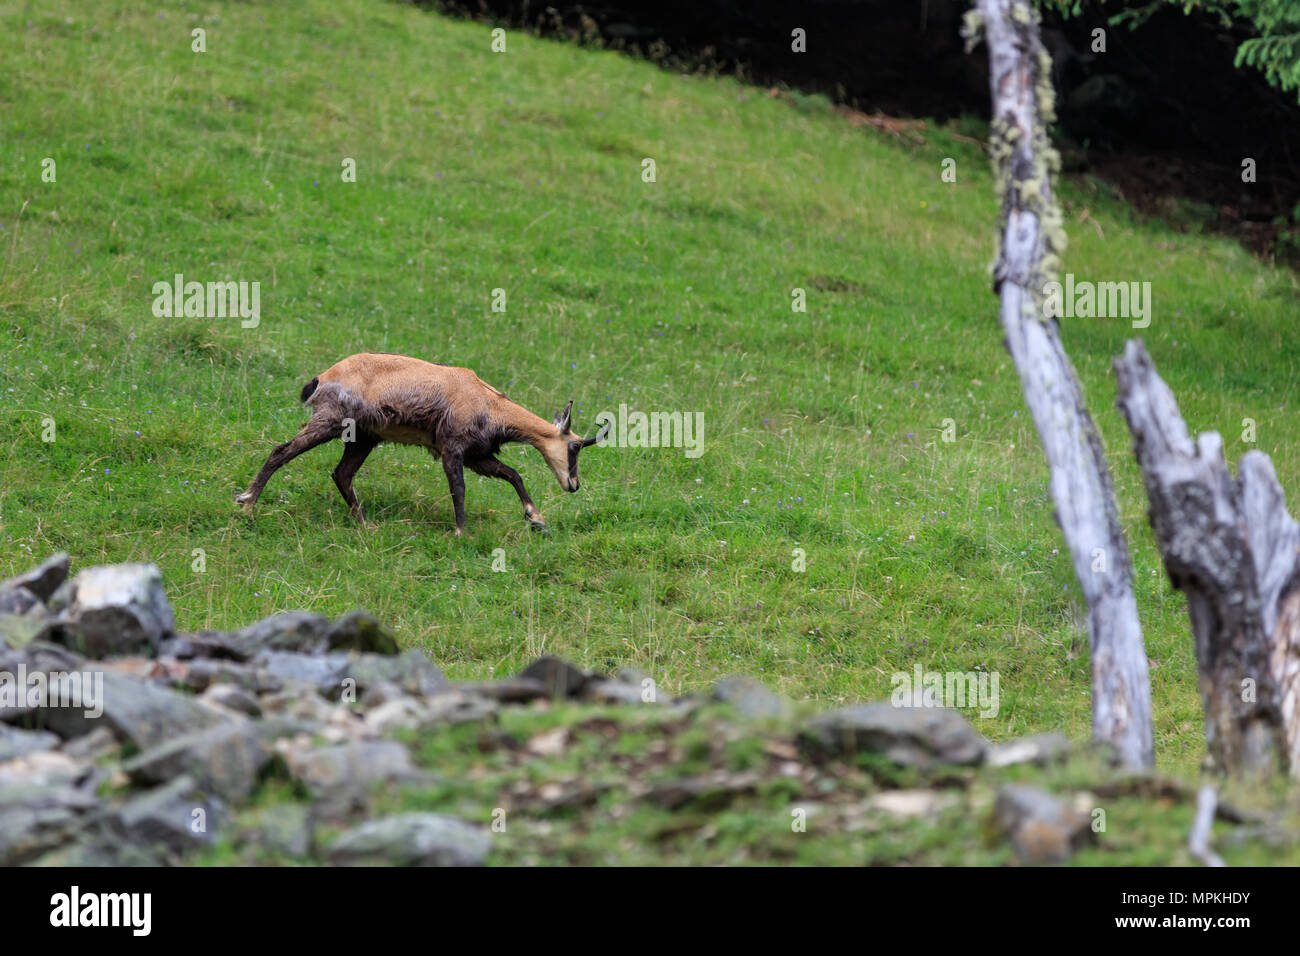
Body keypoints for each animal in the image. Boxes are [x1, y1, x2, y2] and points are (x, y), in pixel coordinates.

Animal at [235, 353, 609, 534]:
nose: (574, 484)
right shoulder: (452, 450)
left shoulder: (478, 457)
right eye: (576, 447)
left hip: (364, 439)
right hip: (329, 423)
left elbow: (512, 474)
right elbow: (458, 488)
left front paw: (537, 520)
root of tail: (323, 378)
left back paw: (366, 524)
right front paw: (462, 533)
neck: (488, 403)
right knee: (282, 451)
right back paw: (247, 504)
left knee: (342, 474)